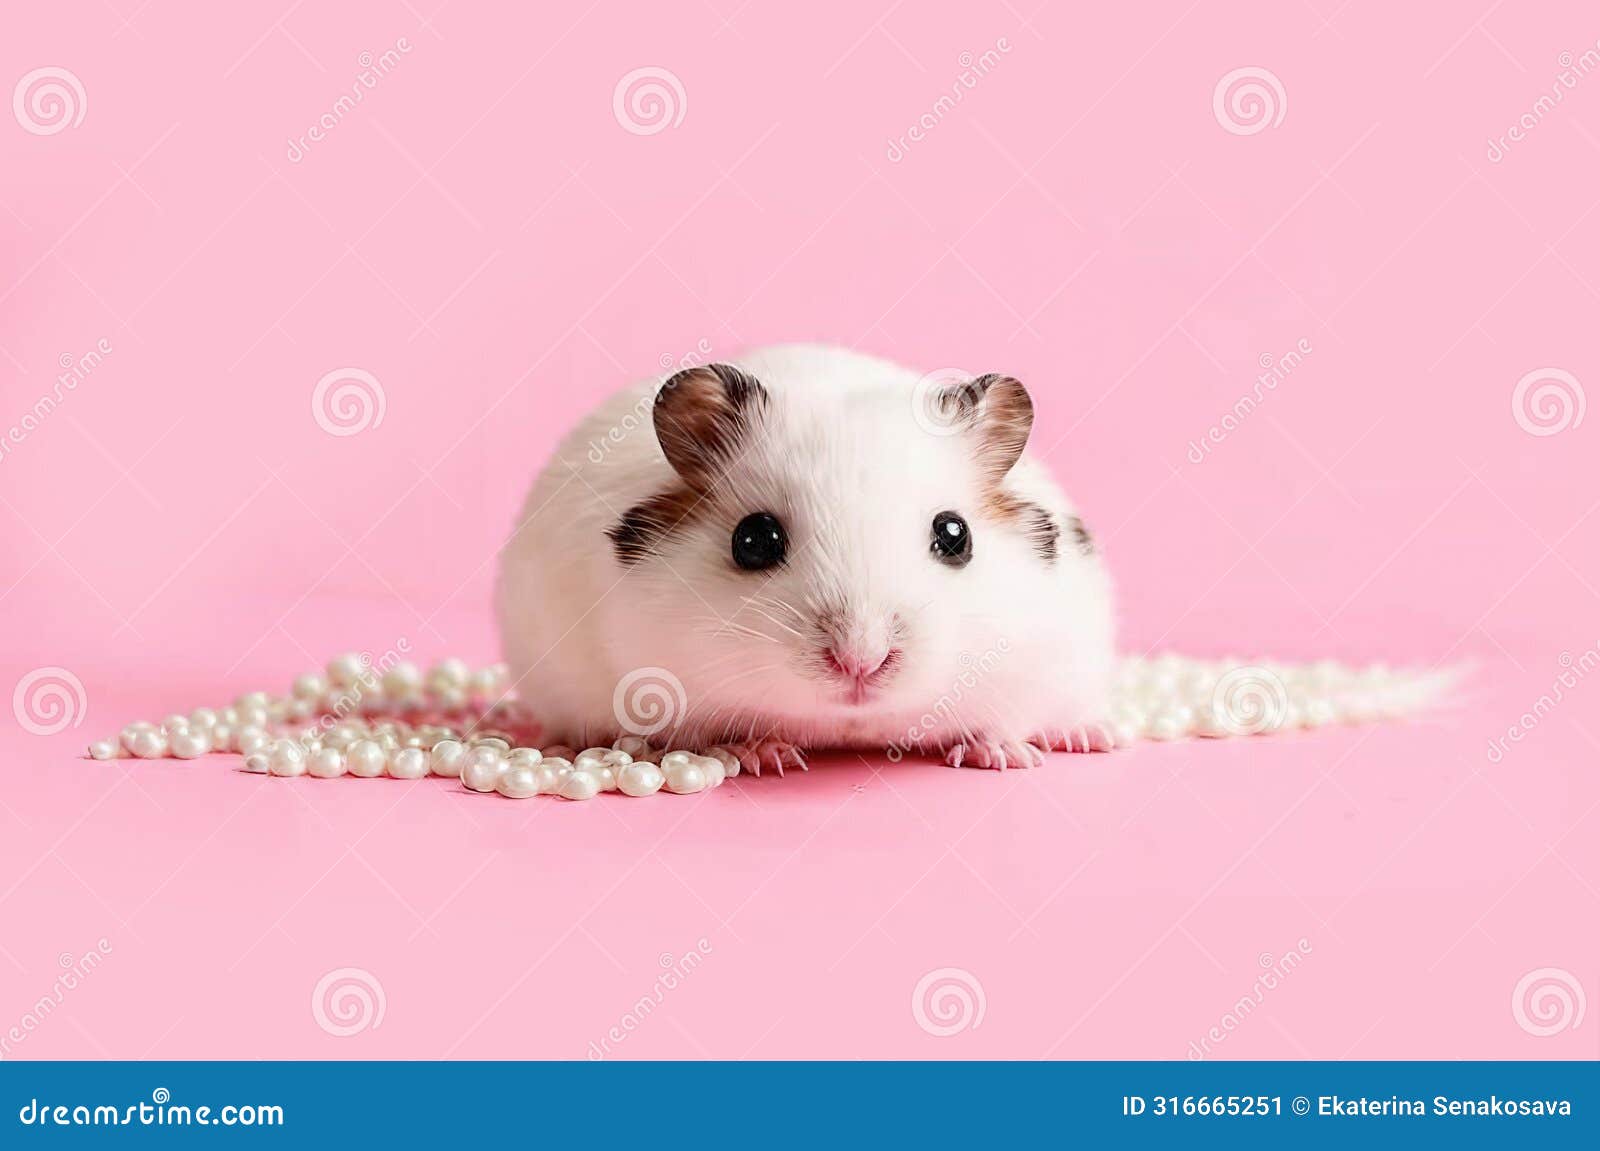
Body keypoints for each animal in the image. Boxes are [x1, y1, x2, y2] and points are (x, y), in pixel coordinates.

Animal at [497, 345, 1116, 772]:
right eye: (753, 540)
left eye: (955, 534)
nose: (861, 663)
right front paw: (766, 754)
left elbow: (1005, 717)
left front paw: (1007, 755)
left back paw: (1089, 735)